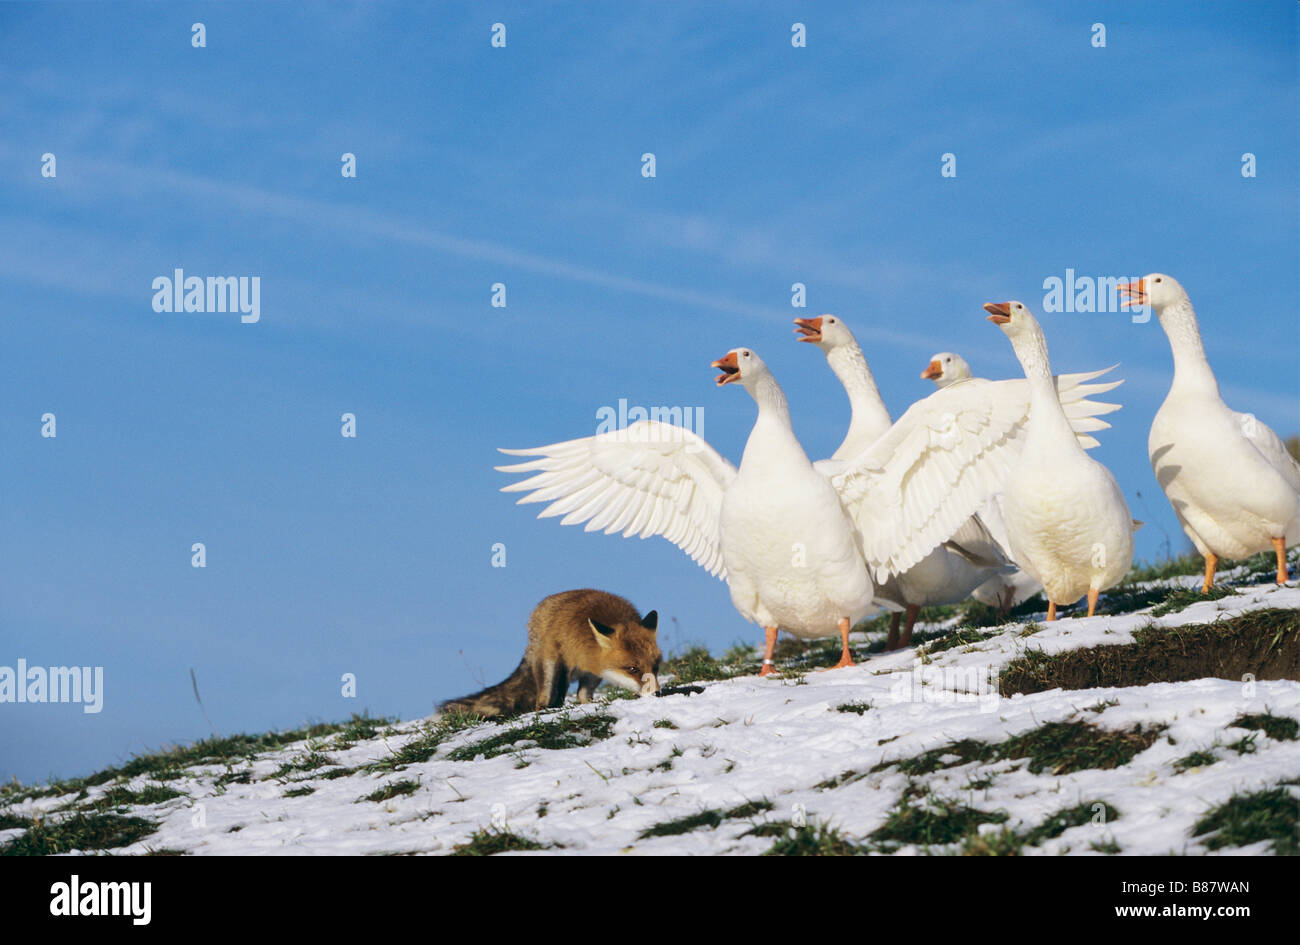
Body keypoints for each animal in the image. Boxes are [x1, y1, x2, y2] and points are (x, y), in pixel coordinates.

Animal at [440, 589, 662, 717]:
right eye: (632, 668)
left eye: (656, 666)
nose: (657, 693)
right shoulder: (563, 660)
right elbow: (560, 695)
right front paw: (557, 709)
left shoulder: (595, 671)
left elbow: (582, 695)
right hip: (546, 666)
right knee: (543, 699)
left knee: (582, 695)